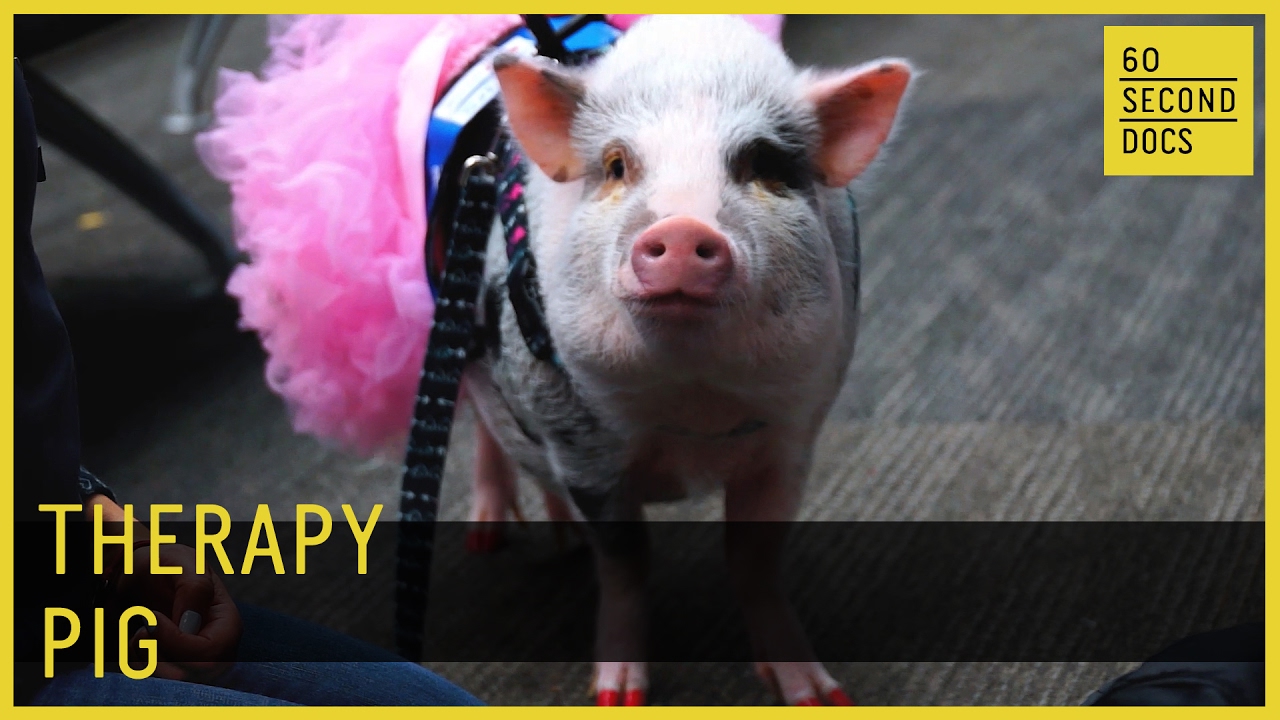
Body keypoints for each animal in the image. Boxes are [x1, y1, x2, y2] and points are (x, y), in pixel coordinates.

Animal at [460, 14, 912, 706]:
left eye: (763, 164)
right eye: (617, 165)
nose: (679, 230)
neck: (694, 400)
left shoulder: (792, 438)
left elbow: (753, 558)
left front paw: (819, 694)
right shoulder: (582, 445)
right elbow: (626, 562)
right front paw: (617, 697)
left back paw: (559, 537)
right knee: (480, 418)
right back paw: (486, 539)